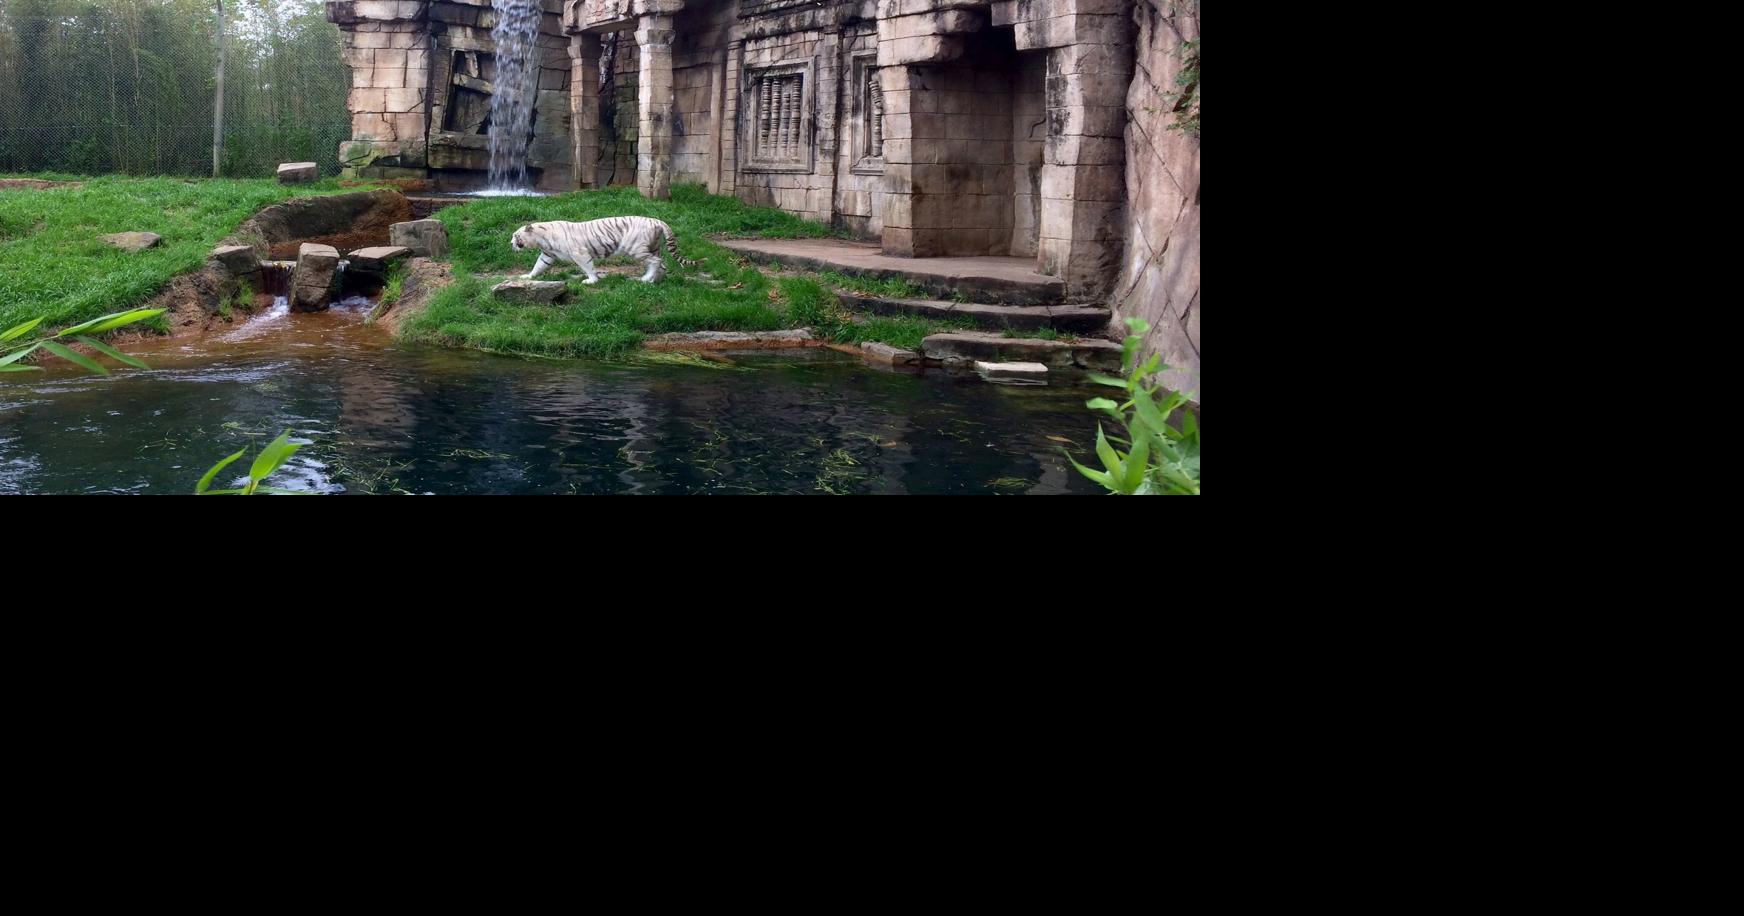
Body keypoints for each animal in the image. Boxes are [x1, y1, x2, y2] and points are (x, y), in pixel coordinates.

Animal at [509, 216, 699, 285]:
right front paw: (528, 277)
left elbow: (588, 268)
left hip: (636, 248)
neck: (542, 239)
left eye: (515, 236)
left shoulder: (580, 254)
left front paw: (591, 281)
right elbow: (538, 266)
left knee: (656, 261)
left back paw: (645, 279)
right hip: (654, 247)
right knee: (662, 263)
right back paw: (655, 280)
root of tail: (657, 221)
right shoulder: (548, 255)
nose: (510, 243)